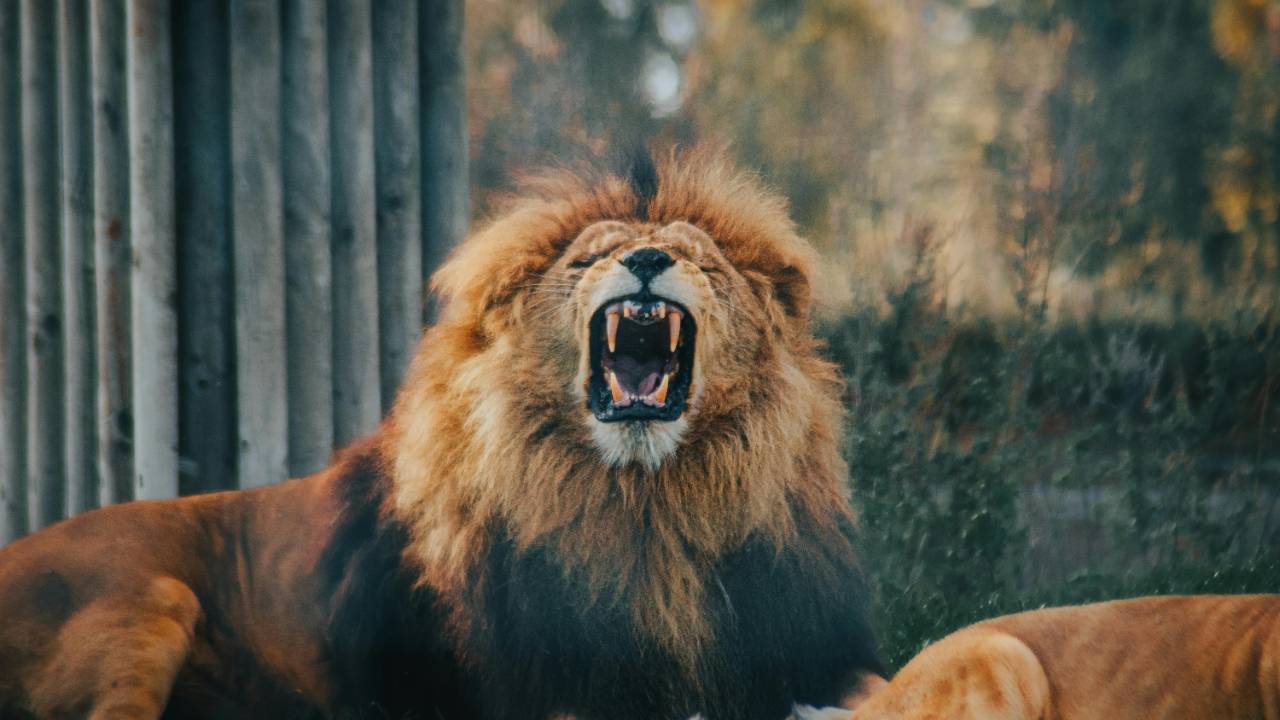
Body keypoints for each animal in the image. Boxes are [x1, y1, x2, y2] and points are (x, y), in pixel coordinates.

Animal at [0, 148, 884, 720]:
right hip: (156, 599)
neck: (640, 509)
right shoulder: (499, 687)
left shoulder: (813, 656)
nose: (644, 260)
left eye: (701, 263)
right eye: (586, 260)